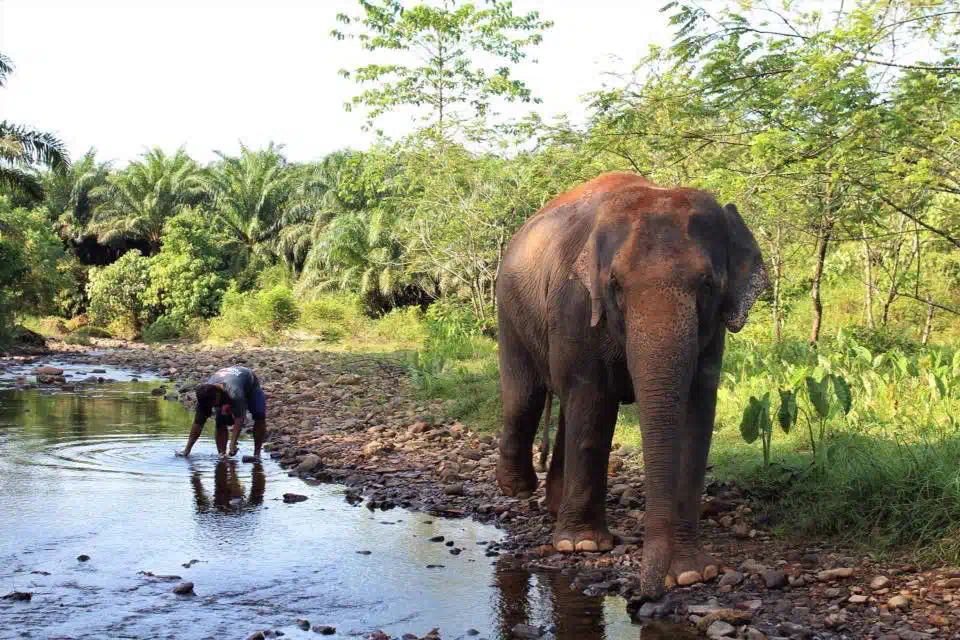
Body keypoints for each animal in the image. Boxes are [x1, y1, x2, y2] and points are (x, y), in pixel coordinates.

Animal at [494, 171, 769, 601]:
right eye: (616, 284)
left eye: (708, 284)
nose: (649, 592)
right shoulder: (576, 304)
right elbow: (592, 399)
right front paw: (582, 545)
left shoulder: (711, 335)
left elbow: (695, 412)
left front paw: (692, 573)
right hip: (510, 309)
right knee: (526, 397)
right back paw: (518, 490)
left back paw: (554, 508)